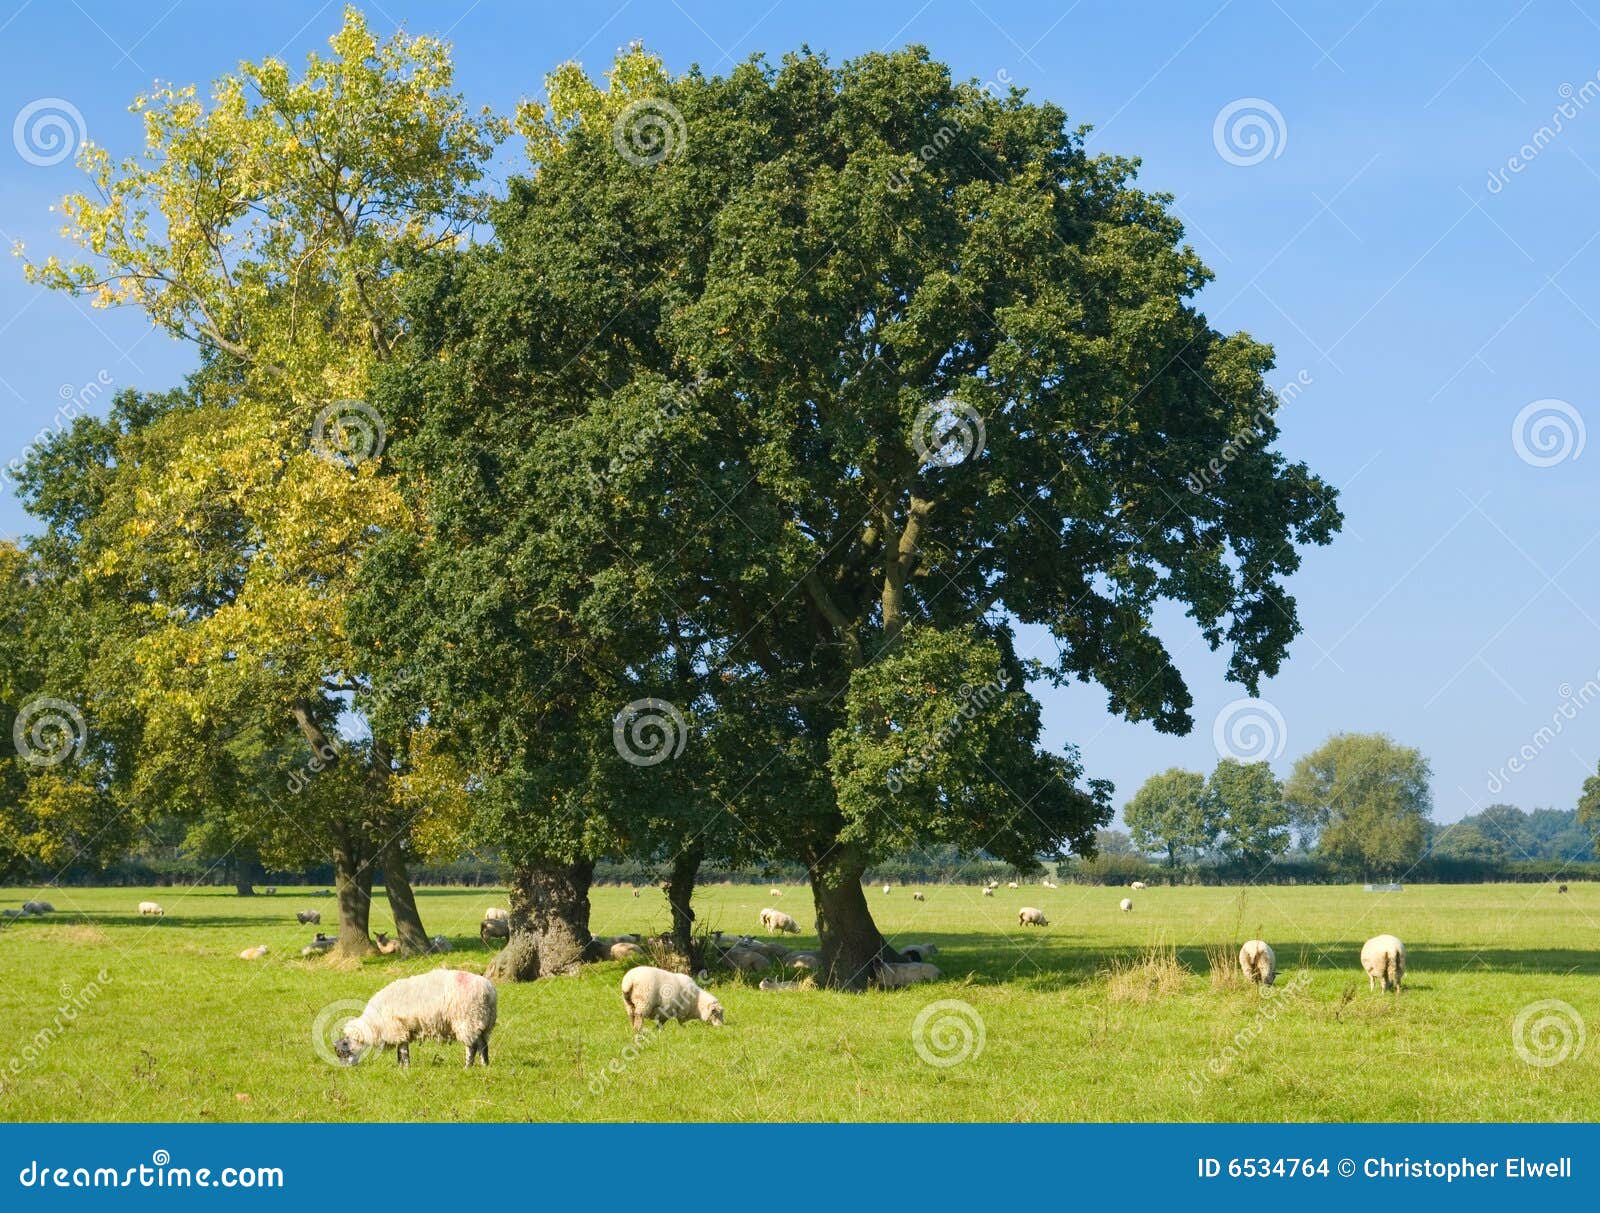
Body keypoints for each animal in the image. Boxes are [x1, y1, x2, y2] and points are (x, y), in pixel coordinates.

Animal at [335, 968, 497, 1068]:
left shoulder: (396, 1029)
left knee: (472, 1047)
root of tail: (489, 990)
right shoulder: (401, 1030)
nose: (345, 1069)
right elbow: (401, 1050)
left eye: (343, 1051)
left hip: (467, 1020)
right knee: (483, 1045)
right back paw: (485, 1065)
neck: (373, 1024)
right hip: (482, 1021)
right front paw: (400, 1067)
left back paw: (467, 1067)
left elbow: (403, 1051)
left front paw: (406, 1067)